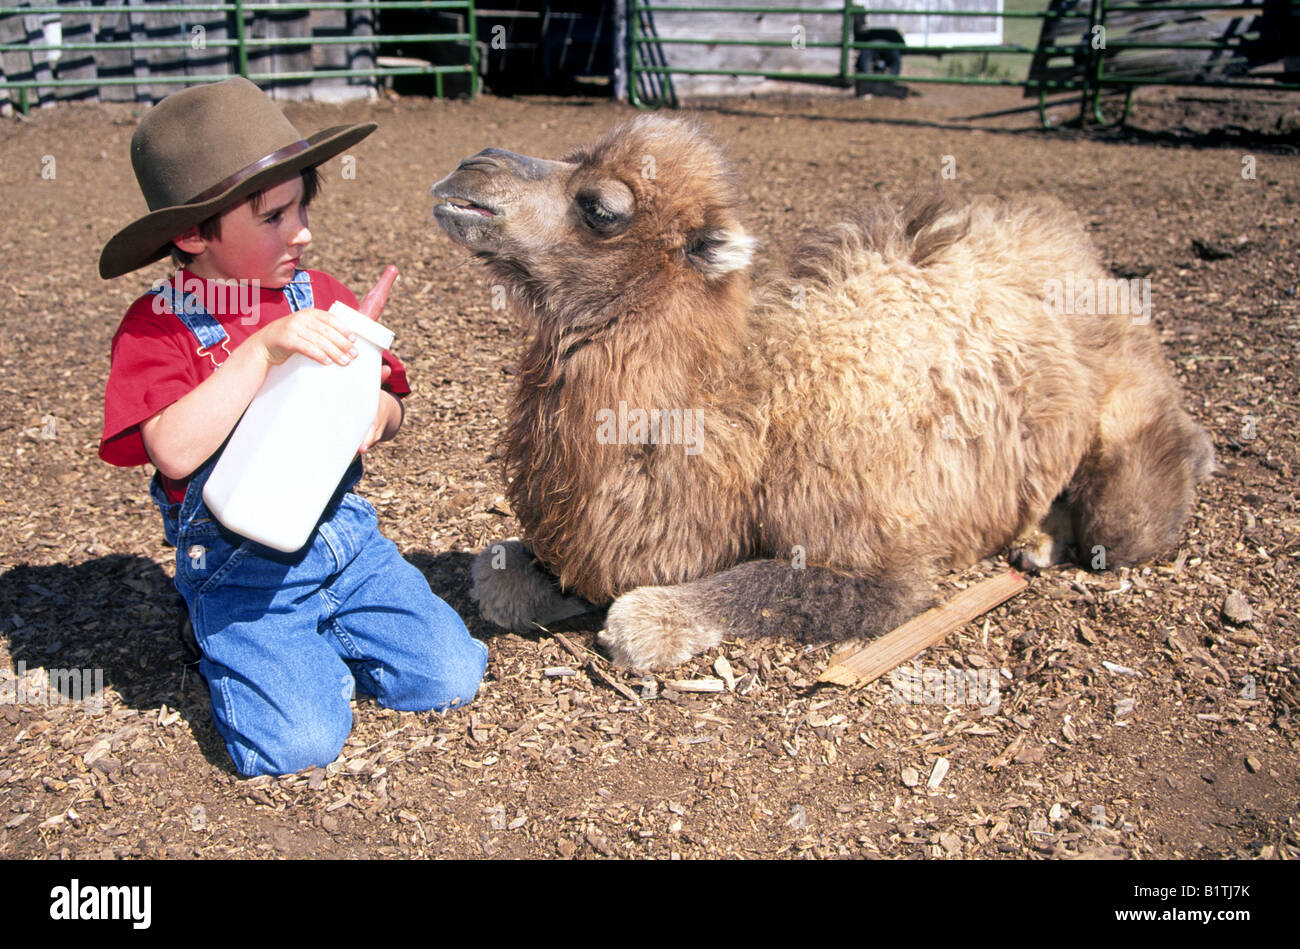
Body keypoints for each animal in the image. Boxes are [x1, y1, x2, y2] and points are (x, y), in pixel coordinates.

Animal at [430, 115, 1214, 672]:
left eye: (601, 207)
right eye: (571, 154)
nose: (471, 167)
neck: (747, 421)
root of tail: (1096, 272)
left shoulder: (885, 562)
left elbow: (755, 588)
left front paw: (654, 623)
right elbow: (499, 571)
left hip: (1132, 443)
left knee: (1138, 508)